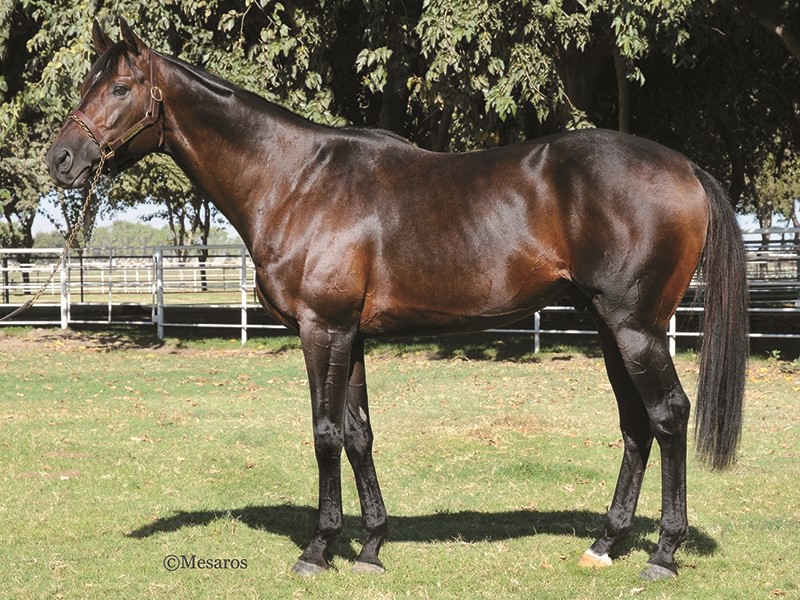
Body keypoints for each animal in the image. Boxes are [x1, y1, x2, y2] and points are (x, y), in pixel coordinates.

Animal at [45, 19, 748, 581]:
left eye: (118, 88)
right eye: (86, 84)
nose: (60, 160)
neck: (295, 181)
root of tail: (685, 168)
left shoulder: (322, 329)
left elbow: (326, 432)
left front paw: (318, 550)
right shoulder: (350, 335)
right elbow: (359, 434)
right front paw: (371, 546)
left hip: (636, 328)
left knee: (668, 417)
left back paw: (663, 553)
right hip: (607, 326)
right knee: (636, 425)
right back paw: (605, 544)